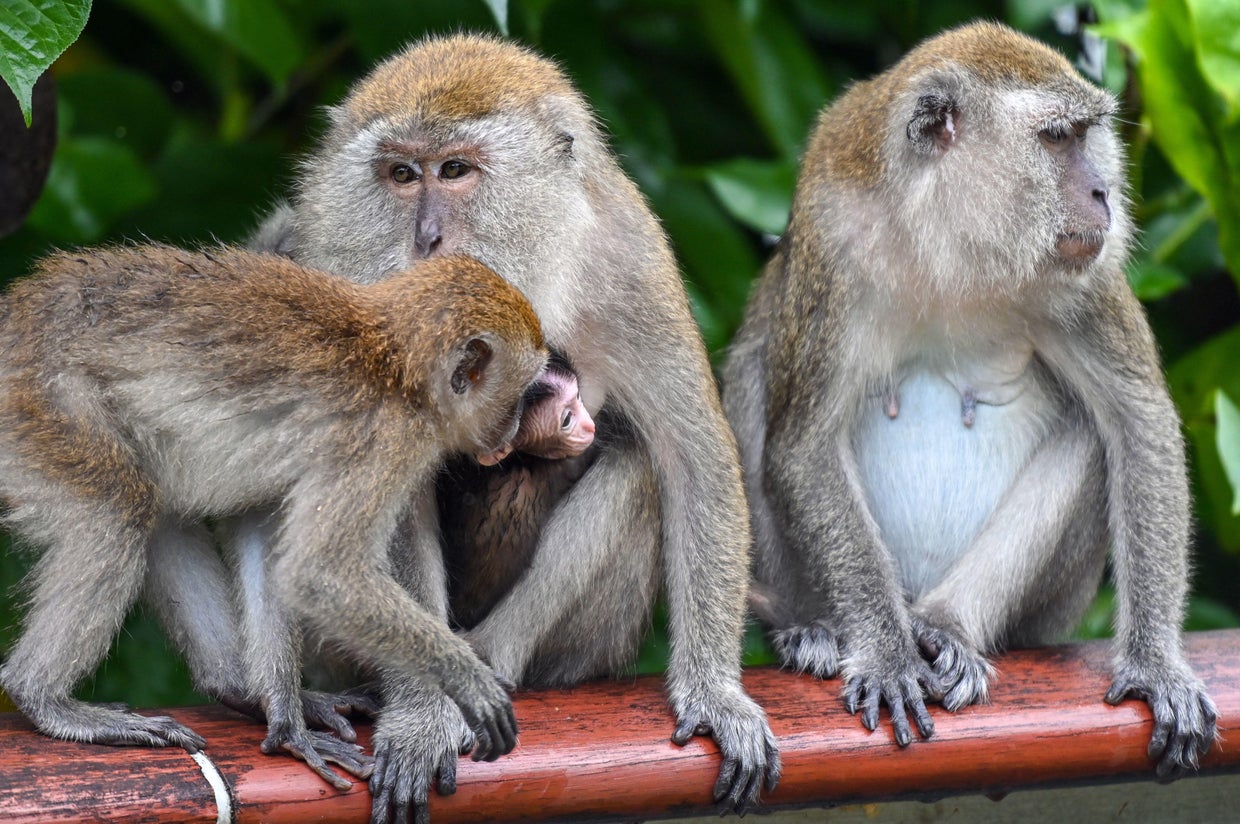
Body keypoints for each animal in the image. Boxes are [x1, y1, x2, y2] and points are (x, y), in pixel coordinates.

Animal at [0, 245, 546, 783]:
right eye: (519, 394)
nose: (512, 431)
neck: (396, 361)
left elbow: (266, 530)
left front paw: (286, 720)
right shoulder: (384, 439)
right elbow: (320, 575)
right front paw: (468, 679)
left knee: (154, 506)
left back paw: (237, 687)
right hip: (42, 406)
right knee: (117, 510)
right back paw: (41, 697)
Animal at [218, 33, 779, 821]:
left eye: (455, 170)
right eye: (401, 174)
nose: (427, 238)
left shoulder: (629, 263)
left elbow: (692, 452)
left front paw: (717, 696)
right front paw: (423, 711)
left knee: (637, 464)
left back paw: (493, 658)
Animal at [722, 21, 1217, 778]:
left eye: (1086, 135)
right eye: (1056, 139)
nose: (1103, 192)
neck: (950, 241)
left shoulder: (1085, 268)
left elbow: (1138, 423)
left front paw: (1156, 665)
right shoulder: (835, 247)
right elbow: (804, 442)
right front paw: (887, 655)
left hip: (1049, 612)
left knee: (1091, 433)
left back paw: (943, 628)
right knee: (753, 375)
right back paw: (813, 626)